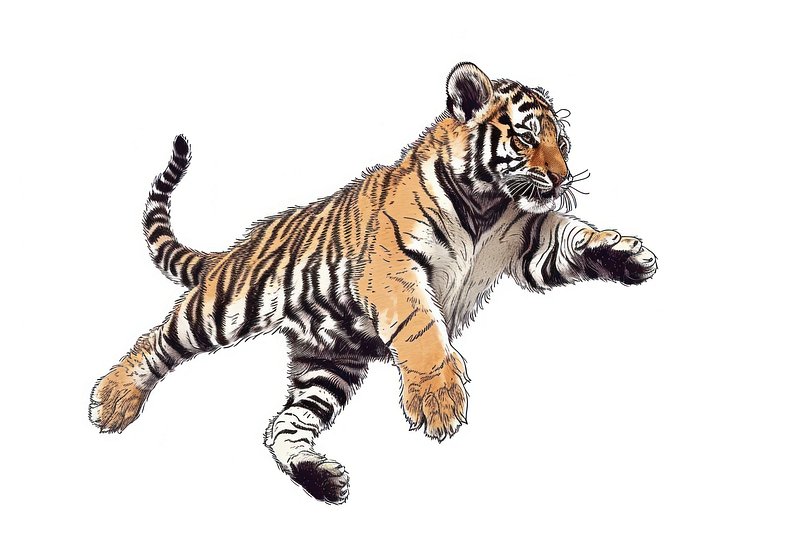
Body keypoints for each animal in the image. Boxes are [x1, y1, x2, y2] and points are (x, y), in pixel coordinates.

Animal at [89, 62, 657, 504]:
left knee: (284, 427)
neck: (486, 204)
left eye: (562, 143)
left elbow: (572, 238)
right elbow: (422, 328)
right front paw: (438, 399)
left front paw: (629, 256)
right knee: (160, 339)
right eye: (525, 137)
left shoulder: (526, 243)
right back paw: (114, 400)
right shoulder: (394, 267)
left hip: (329, 364)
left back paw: (321, 480)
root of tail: (243, 243)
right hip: (227, 305)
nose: (562, 178)